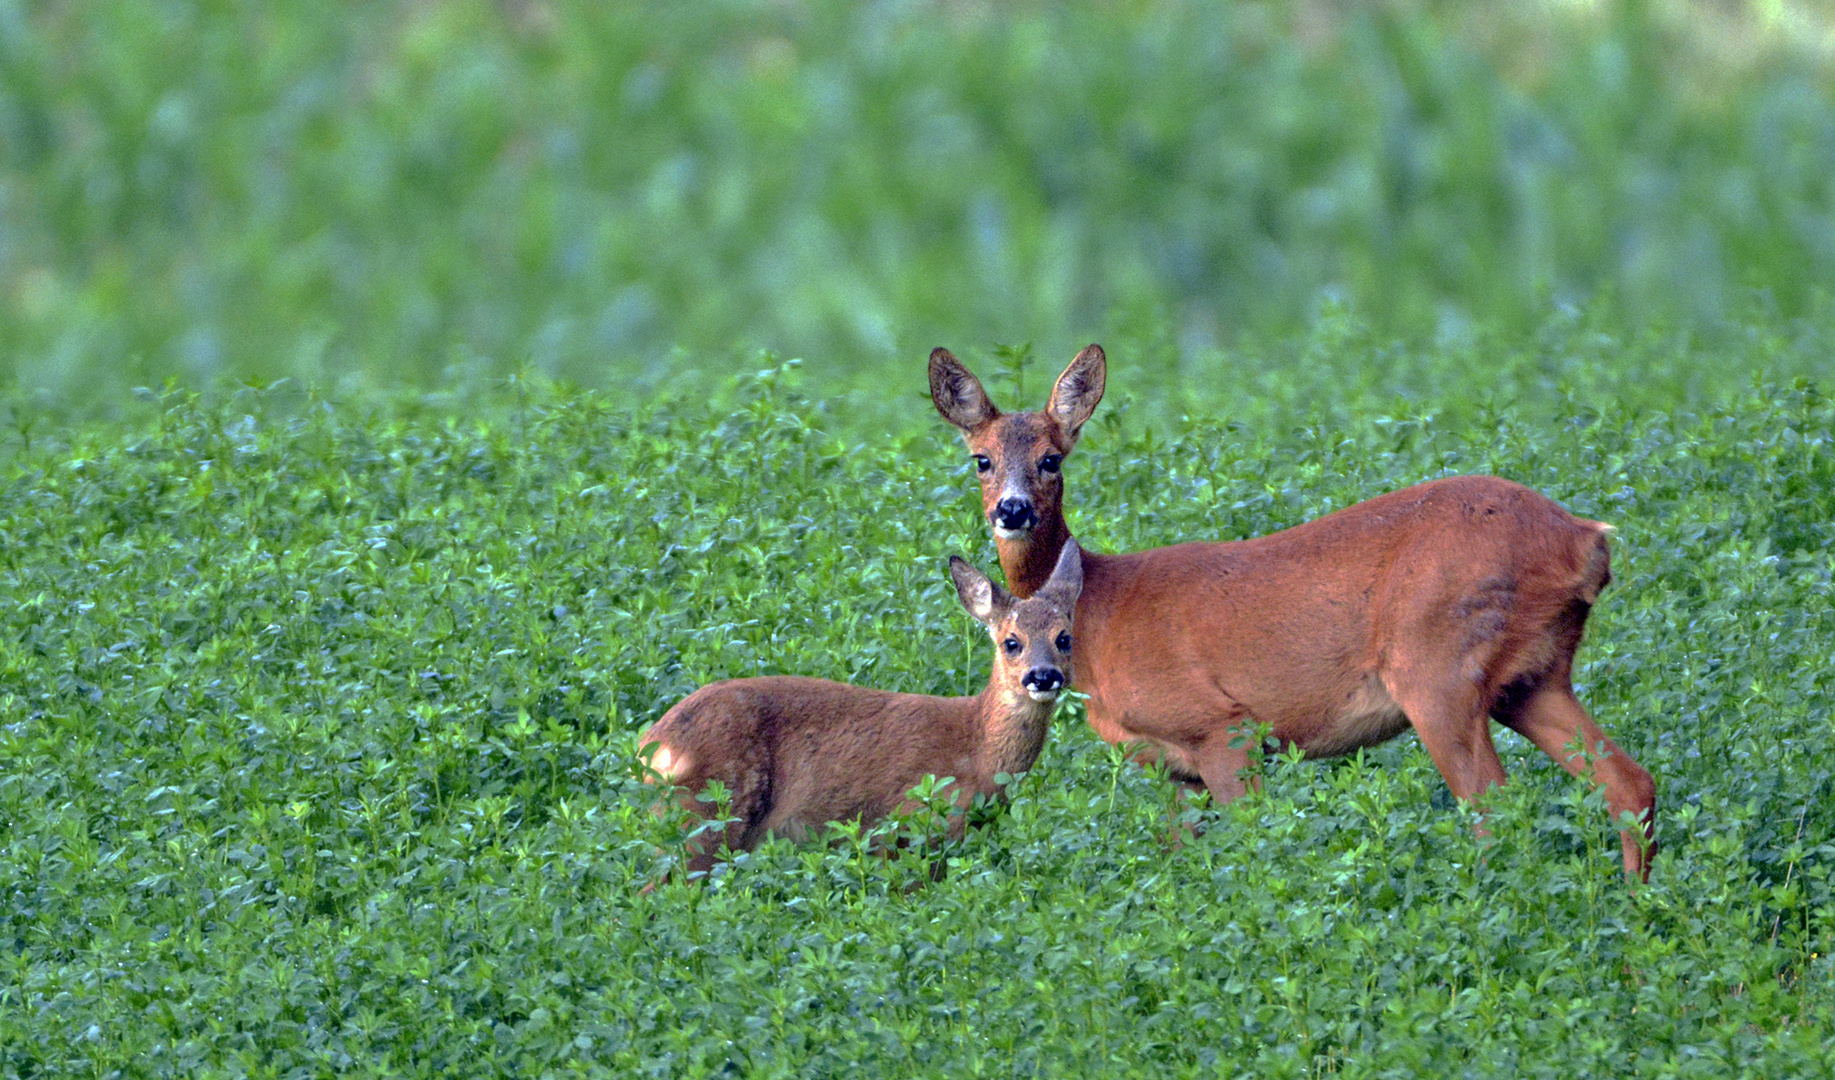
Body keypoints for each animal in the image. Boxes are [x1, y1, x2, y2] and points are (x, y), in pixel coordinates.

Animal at [642, 542, 1078, 880]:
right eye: (1011, 641)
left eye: (1064, 638)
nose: (1043, 675)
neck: (976, 750)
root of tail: (652, 744)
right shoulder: (909, 823)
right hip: (708, 810)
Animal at [924, 344, 1658, 876]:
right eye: (980, 460)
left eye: (1052, 458)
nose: (1011, 510)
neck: (1098, 609)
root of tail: (1585, 539)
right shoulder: (1168, 766)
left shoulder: (1223, 726)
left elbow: (1256, 848)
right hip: (1531, 676)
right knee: (1629, 784)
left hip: (1436, 669)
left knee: (1496, 807)